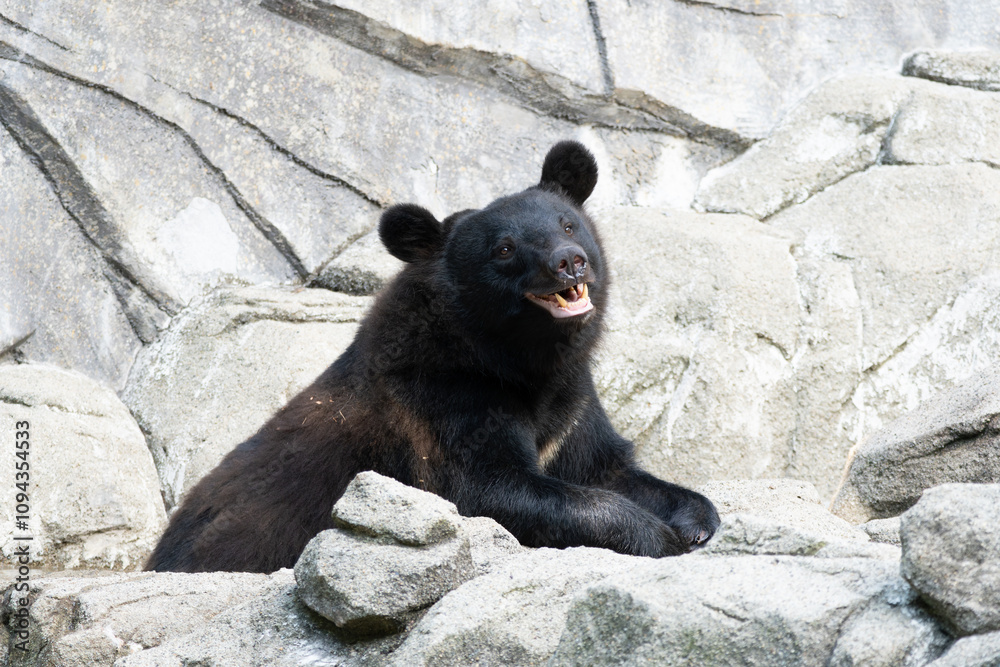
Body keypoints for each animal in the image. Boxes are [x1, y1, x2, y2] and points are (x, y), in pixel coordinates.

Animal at [146, 141, 720, 573]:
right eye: (505, 248)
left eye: (567, 223)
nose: (569, 262)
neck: (519, 358)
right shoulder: (443, 402)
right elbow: (491, 490)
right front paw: (656, 536)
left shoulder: (572, 406)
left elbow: (604, 465)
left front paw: (695, 518)